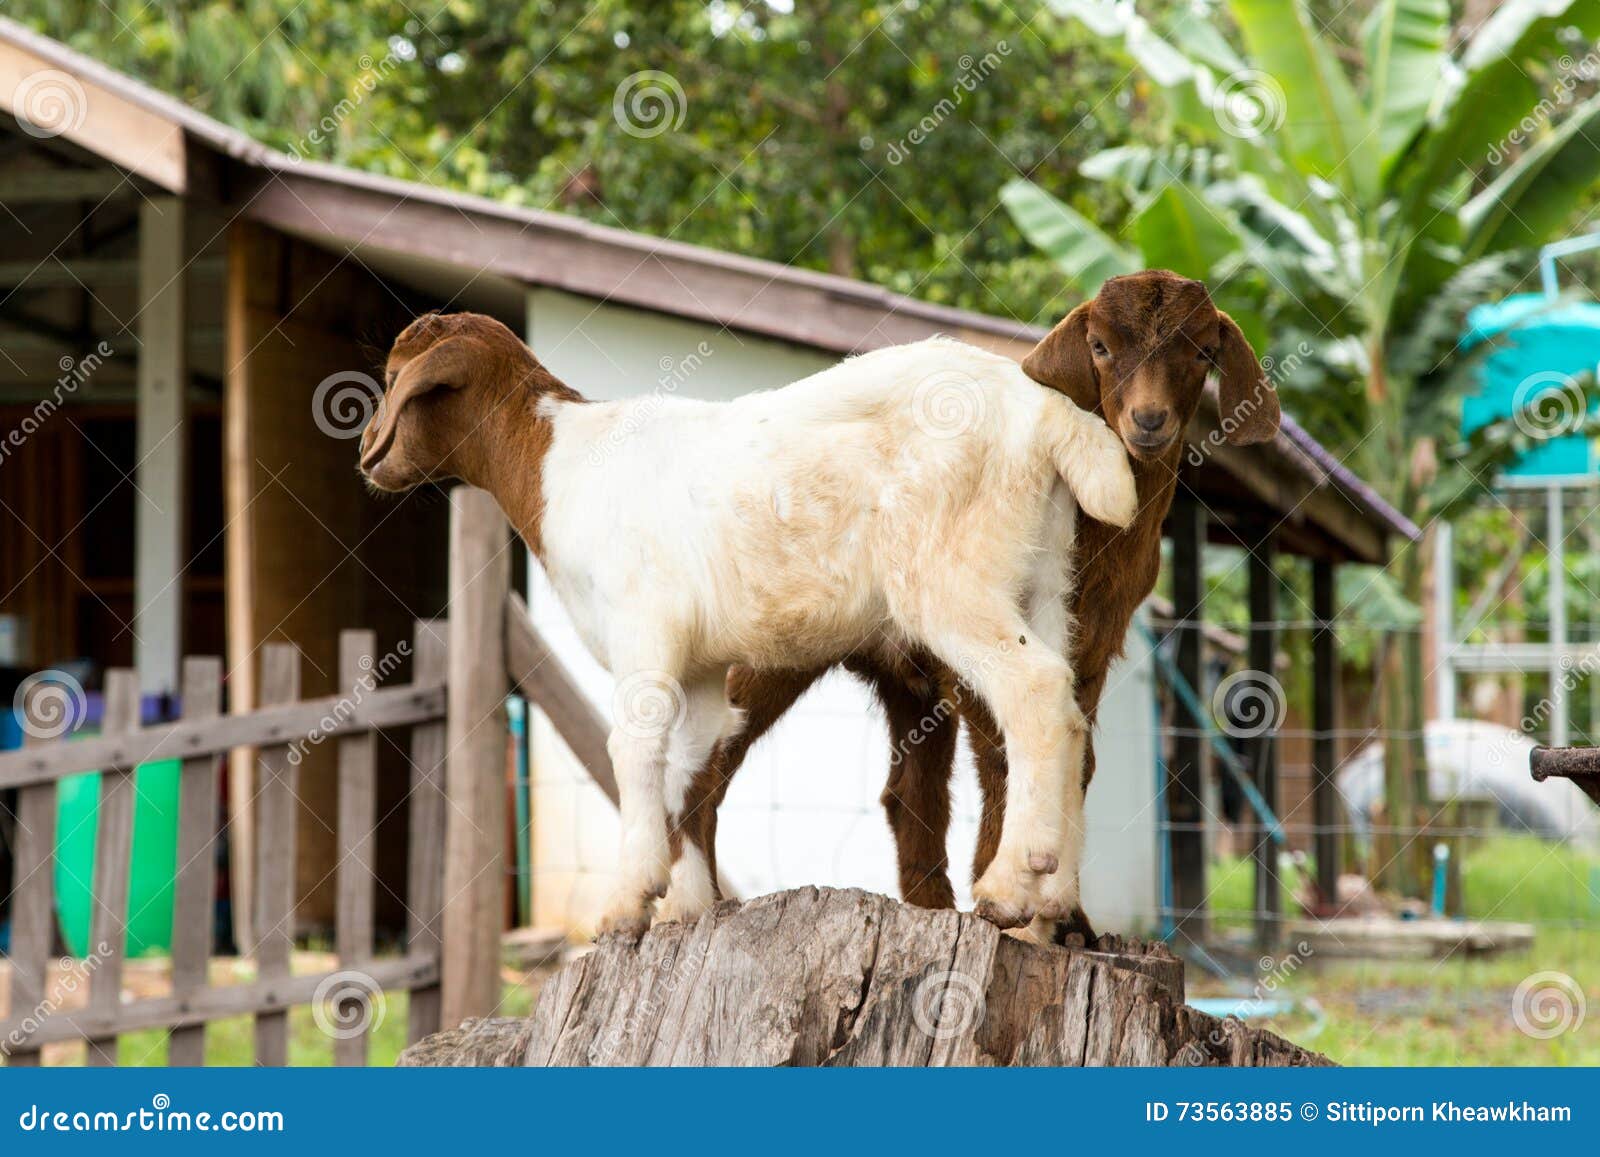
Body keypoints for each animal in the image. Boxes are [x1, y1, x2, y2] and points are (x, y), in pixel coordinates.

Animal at [358, 312, 1138, 937]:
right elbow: (692, 769)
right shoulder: (701, 667)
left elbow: (633, 751)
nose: (367, 450)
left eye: (396, 379)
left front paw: (626, 905)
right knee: (1071, 707)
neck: (557, 465)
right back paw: (1053, 895)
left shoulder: (643, 631)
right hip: (1042, 574)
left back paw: (1009, 888)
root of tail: (1045, 414)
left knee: (1034, 691)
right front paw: (686, 908)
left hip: (953, 579)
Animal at [671, 271, 1280, 940]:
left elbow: (1081, 759)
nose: (1149, 422)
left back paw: (931, 905)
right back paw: (690, 904)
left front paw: (1066, 917)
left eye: (1203, 353)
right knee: (709, 759)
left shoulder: (1094, 644)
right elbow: (998, 761)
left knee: (909, 792)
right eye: (1099, 346)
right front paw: (1014, 907)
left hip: (904, 673)